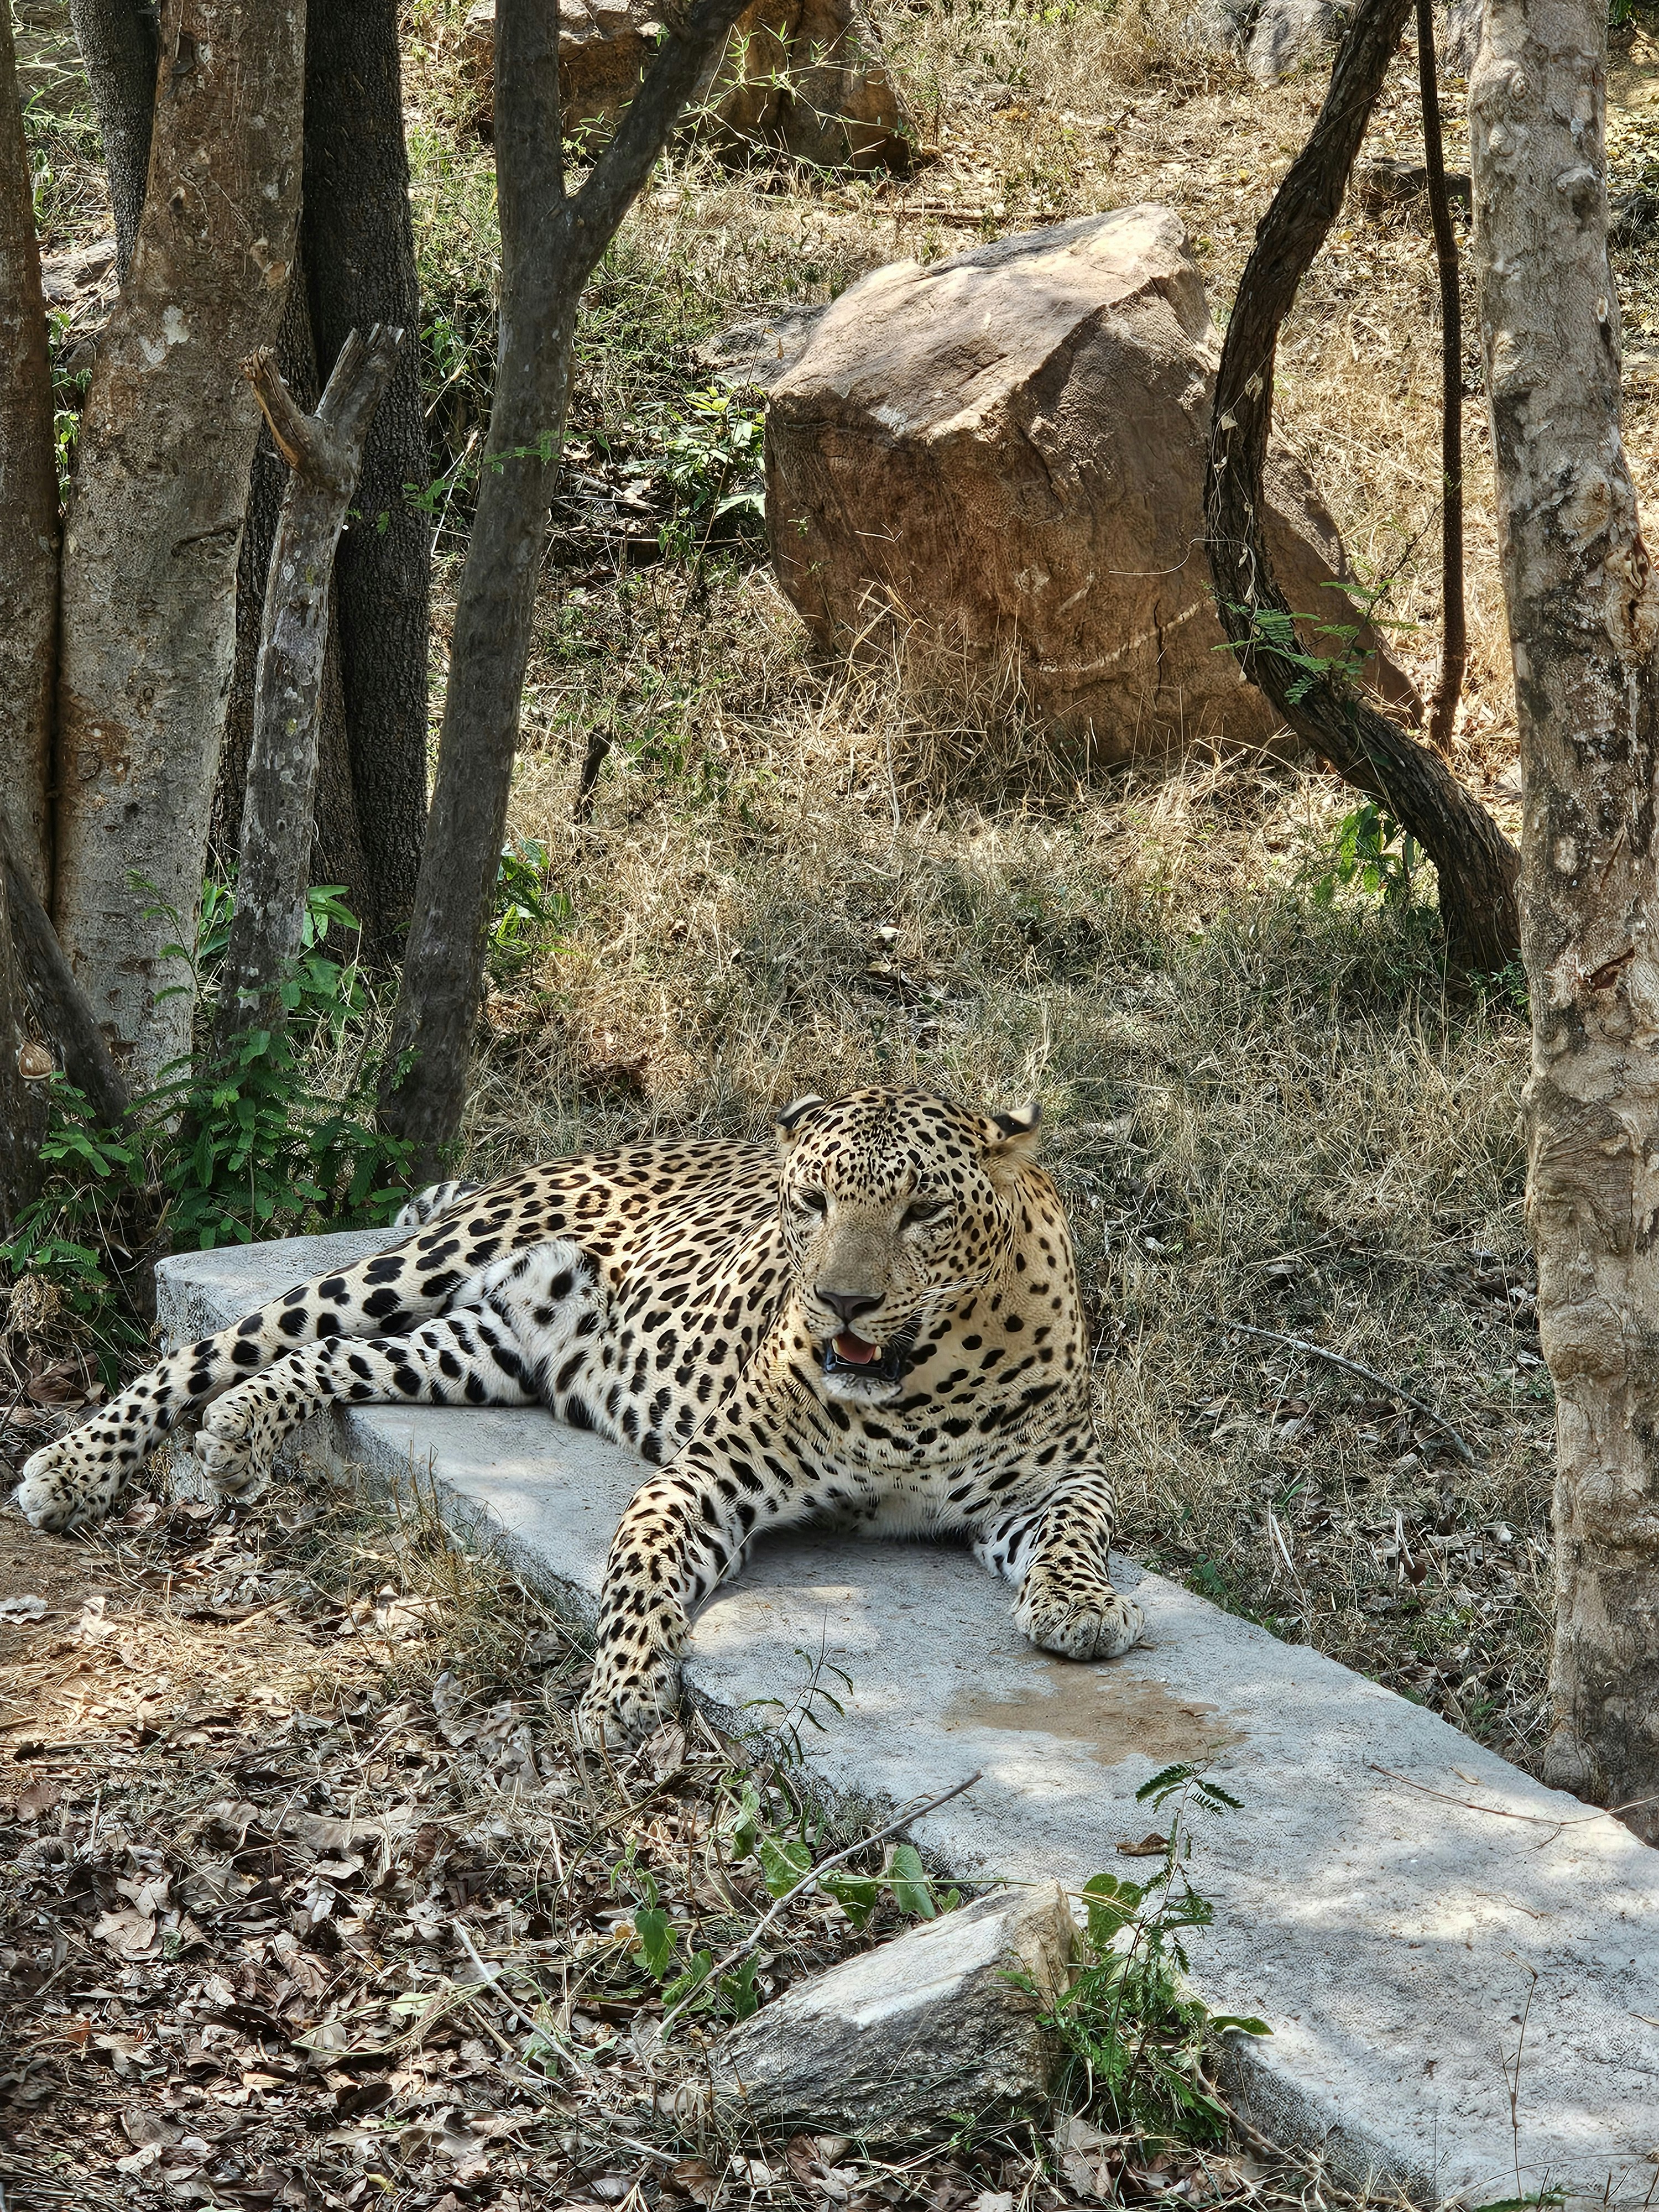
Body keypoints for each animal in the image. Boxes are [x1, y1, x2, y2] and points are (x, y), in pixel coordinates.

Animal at [15, 1088, 1143, 1743]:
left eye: (924, 1212)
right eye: (811, 1203)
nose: (843, 1303)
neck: (913, 1392)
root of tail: (583, 1151)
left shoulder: (1059, 1476)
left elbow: (1079, 1529)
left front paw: (1082, 1607)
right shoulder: (705, 1482)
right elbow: (639, 1580)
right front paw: (622, 1696)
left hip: (479, 1352)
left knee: (327, 1361)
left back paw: (242, 1430)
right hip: (418, 1267)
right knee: (223, 1344)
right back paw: (72, 1470)